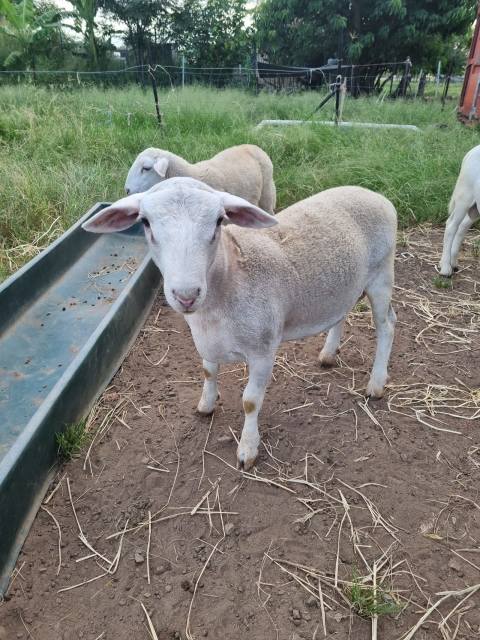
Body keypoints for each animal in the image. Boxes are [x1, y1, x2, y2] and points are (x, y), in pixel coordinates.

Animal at [83, 178, 397, 470]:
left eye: (218, 221)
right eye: (145, 223)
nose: (186, 295)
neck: (229, 278)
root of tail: (375, 194)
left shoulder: (263, 350)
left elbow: (250, 401)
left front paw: (247, 449)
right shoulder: (206, 341)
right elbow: (208, 372)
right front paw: (206, 405)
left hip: (382, 274)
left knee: (387, 324)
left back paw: (376, 383)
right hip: (345, 284)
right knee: (342, 313)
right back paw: (328, 354)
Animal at [439, 144, 480, 277]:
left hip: (475, 207)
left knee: (463, 225)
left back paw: (452, 262)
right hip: (464, 196)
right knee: (451, 225)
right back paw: (446, 268)